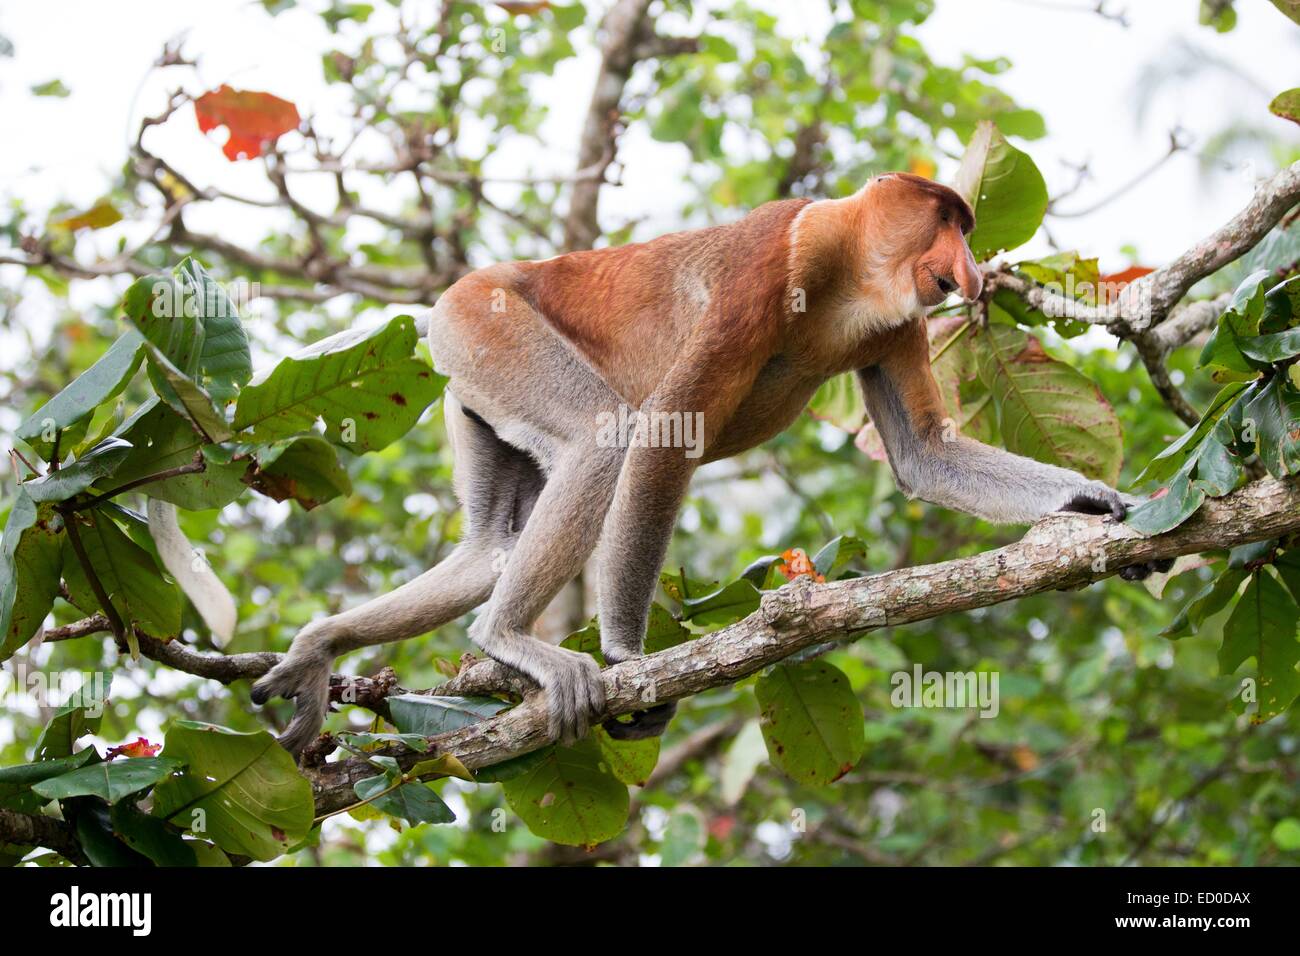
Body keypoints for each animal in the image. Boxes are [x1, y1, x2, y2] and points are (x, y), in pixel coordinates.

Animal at [251, 172, 1167, 755]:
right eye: (946, 219)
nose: (969, 273)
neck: (845, 276)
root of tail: (449, 299)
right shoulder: (767, 265)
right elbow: (663, 434)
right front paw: (629, 660)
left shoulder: (893, 323)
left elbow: (924, 454)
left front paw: (1097, 501)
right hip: (487, 324)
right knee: (602, 436)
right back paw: (509, 640)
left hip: (470, 380)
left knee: (490, 547)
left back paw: (325, 645)